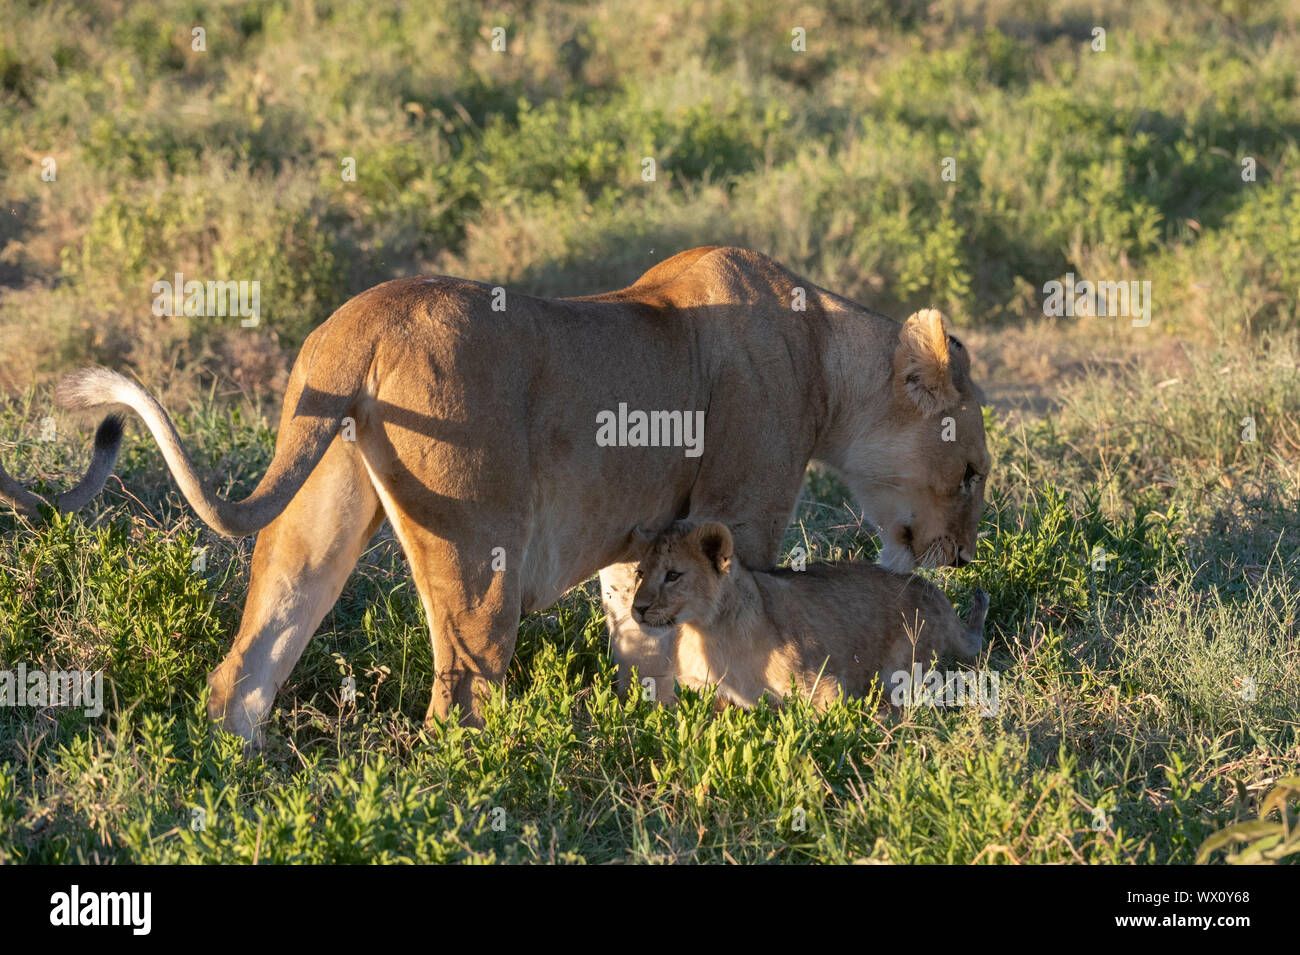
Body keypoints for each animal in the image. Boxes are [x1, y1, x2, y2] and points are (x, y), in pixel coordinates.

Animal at [622, 520, 988, 709]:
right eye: (640, 573)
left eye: (673, 575)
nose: (638, 609)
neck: (705, 631)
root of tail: (935, 594)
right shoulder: (703, 690)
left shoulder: (823, 683)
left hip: (907, 667)